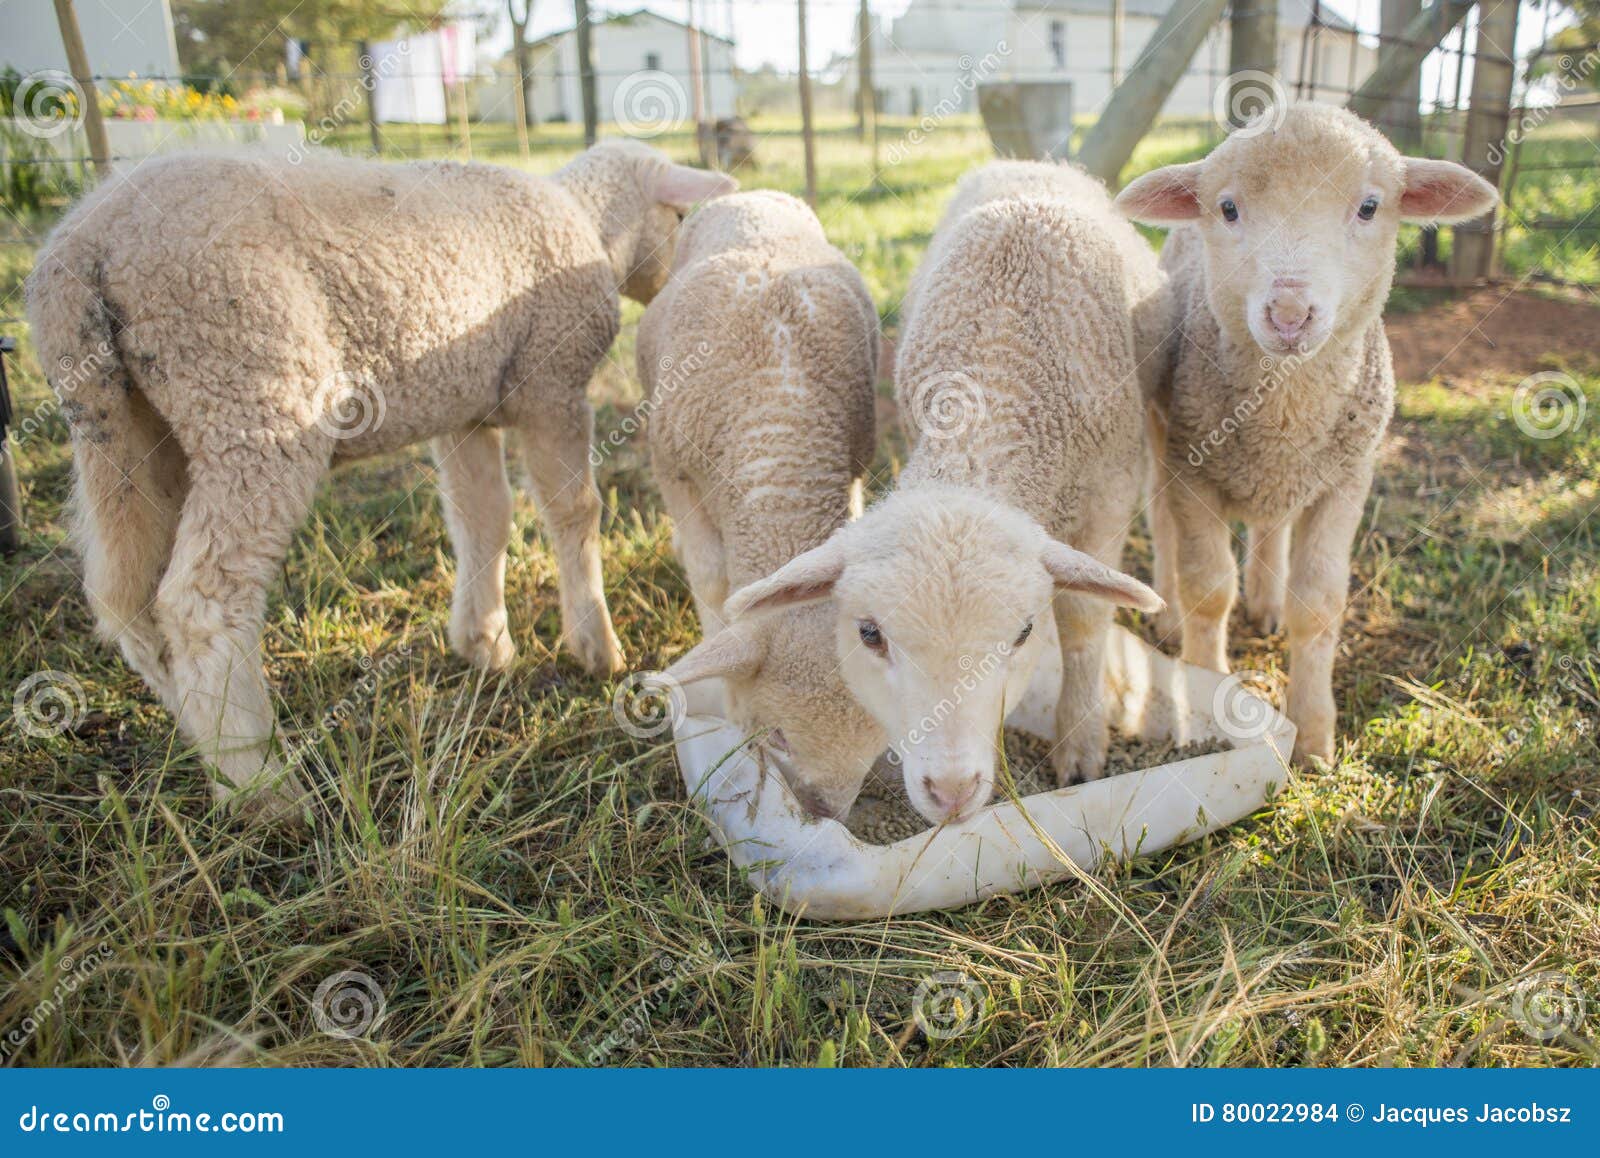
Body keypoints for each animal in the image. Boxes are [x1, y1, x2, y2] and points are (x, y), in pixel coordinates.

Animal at [25, 139, 734, 820]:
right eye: (677, 218)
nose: (667, 281)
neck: (587, 221)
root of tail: (86, 248)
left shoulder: (465, 409)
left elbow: (483, 518)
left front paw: (482, 643)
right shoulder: (551, 384)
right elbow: (573, 511)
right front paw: (596, 647)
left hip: (123, 427)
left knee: (128, 602)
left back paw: (211, 750)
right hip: (247, 393)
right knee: (199, 603)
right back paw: (265, 790)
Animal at [636, 190, 885, 820]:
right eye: (778, 736)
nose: (823, 815)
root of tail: (746, 193)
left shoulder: (854, 461)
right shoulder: (675, 471)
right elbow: (711, 582)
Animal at [715, 161, 1165, 827]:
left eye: (1023, 634)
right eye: (869, 635)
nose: (951, 792)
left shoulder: (1111, 488)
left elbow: (1085, 622)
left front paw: (1080, 743)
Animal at [1114, 102, 1497, 762]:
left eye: (1369, 206)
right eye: (1228, 208)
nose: (1289, 315)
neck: (1285, 407)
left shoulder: (1347, 479)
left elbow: (1317, 605)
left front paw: (1315, 737)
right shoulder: (1193, 467)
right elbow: (1208, 588)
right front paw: (1206, 687)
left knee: (1272, 527)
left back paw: (1266, 603)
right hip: (1164, 432)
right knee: (1163, 525)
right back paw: (1169, 615)